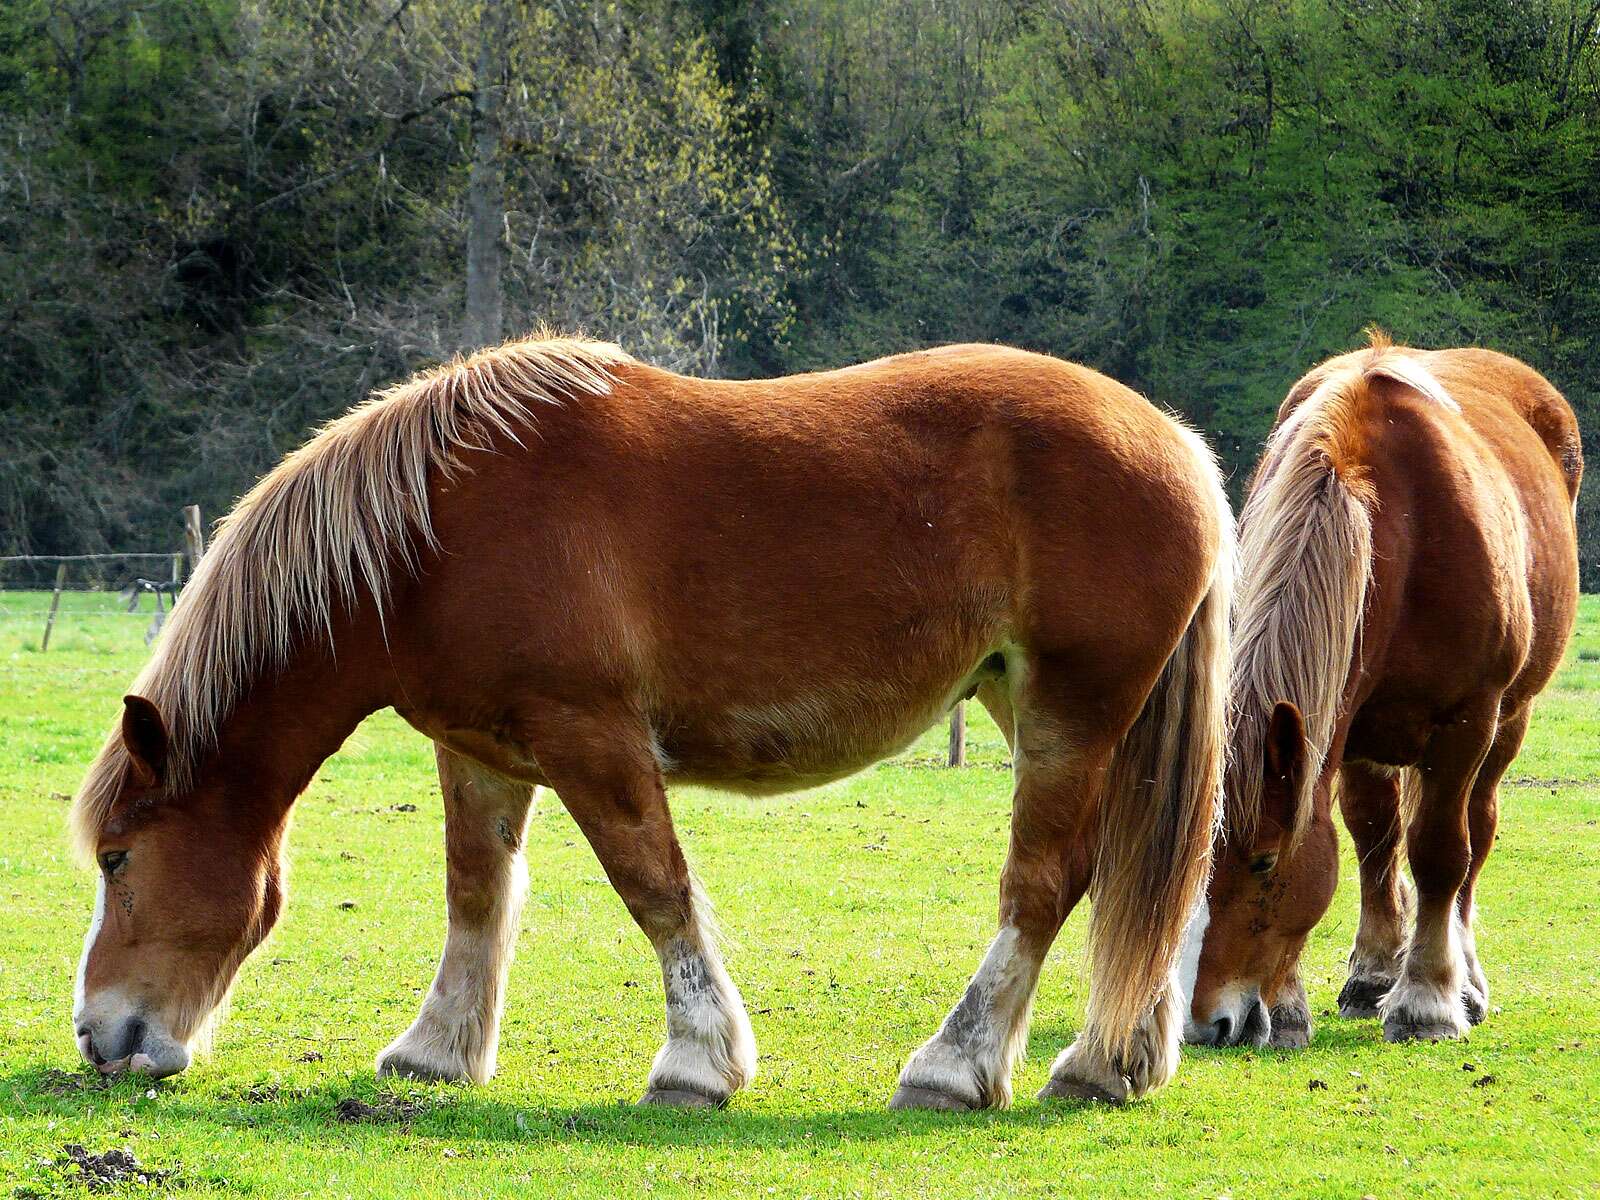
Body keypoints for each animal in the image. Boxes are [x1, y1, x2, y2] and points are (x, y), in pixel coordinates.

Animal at [70, 334, 1233, 1110]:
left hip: (1070, 711)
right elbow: (475, 892)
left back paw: (956, 1067)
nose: (100, 1035)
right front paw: (436, 1052)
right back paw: (1110, 1063)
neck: (433, 534)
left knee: (1045, 883)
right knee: (1138, 879)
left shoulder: (592, 739)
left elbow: (653, 887)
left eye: (119, 858)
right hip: (1029, 700)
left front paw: (698, 1062)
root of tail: (1172, 441)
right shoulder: (479, 751)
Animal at [1179, 334, 1581, 1049]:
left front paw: (1427, 1001)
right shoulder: (1345, 725)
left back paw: (1465, 980)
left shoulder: (1464, 724)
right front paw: (1316, 997)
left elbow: (1442, 852)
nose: (1207, 1025)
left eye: (1263, 863)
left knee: (1476, 833)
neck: (1403, 530)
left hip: (1507, 724)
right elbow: (1365, 842)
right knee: (1382, 837)